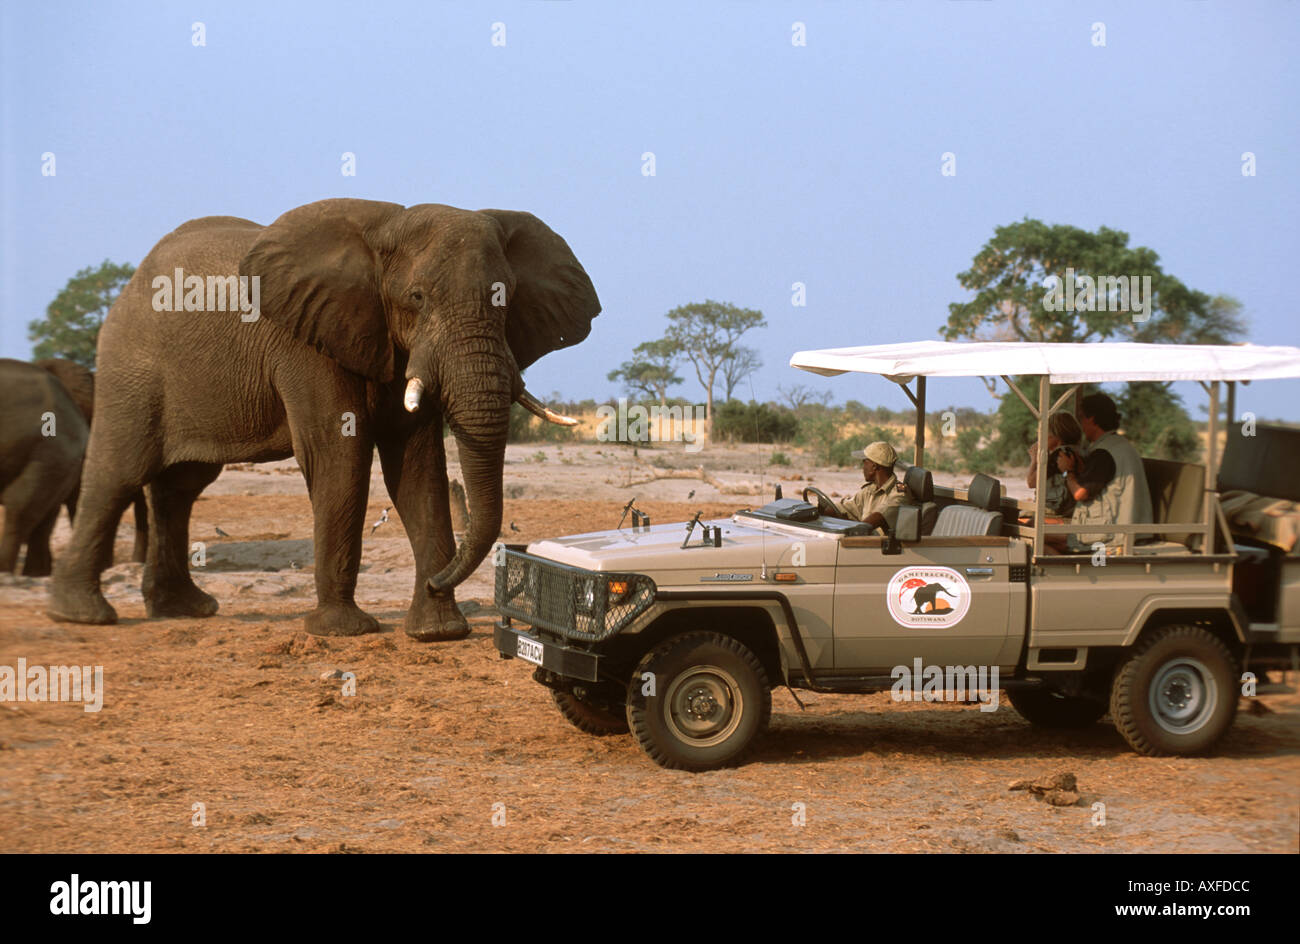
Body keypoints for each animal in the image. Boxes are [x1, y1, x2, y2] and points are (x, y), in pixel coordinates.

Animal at [49, 198, 600, 641]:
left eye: (507, 297)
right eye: (417, 298)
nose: (436, 579)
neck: (385, 229)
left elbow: (416, 466)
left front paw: (438, 632)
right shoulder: (306, 340)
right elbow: (341, 454)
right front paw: (342, 632)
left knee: (178, 488)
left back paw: (185, 610)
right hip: (131, 366)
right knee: (119, 473)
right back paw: (81, 616)